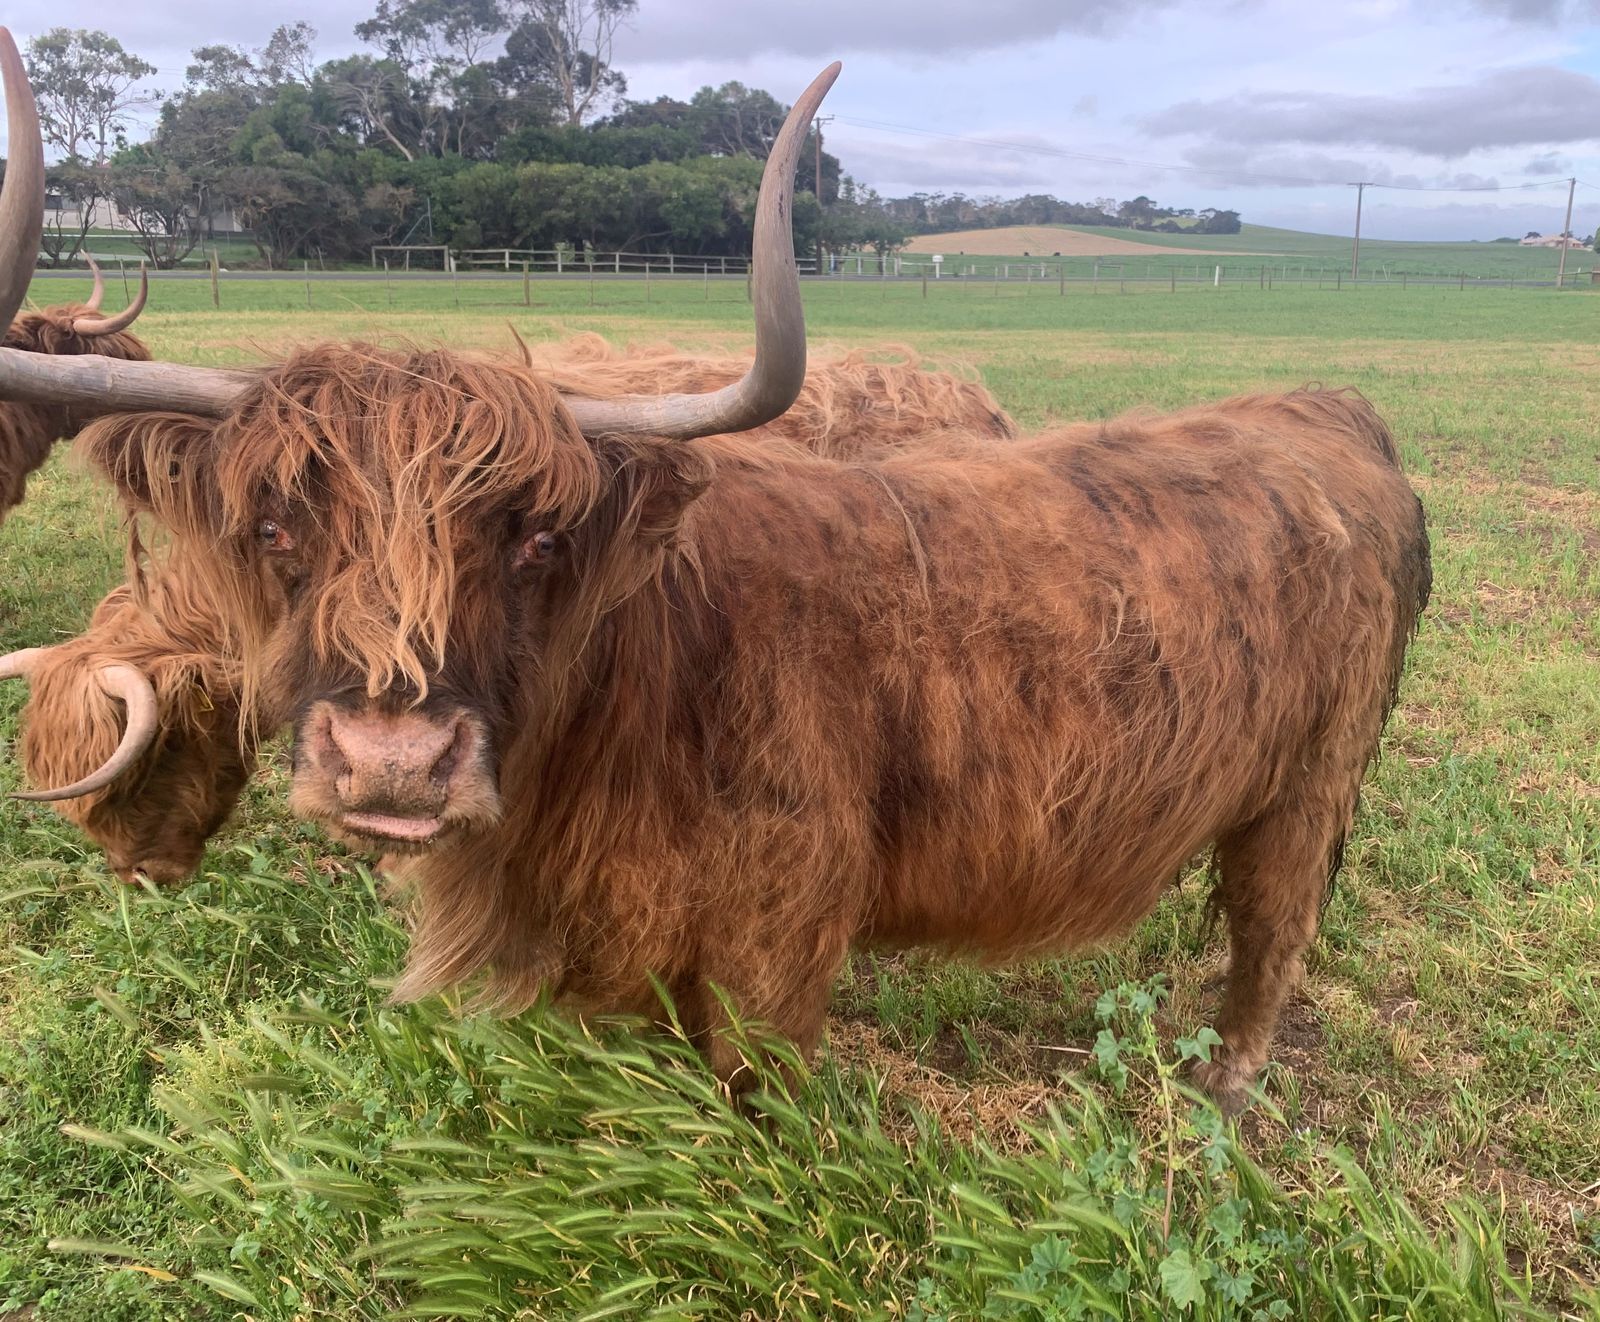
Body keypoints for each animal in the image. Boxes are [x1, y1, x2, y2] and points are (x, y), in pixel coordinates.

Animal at [0, 47, 1429, 1110]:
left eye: (535, 537)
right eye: (276, 530)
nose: (394, 764)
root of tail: (1322, 410)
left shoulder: (777, 938)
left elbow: (754, 1102)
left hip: (1307, 786)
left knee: (1270, 933)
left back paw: (1223, 1093)